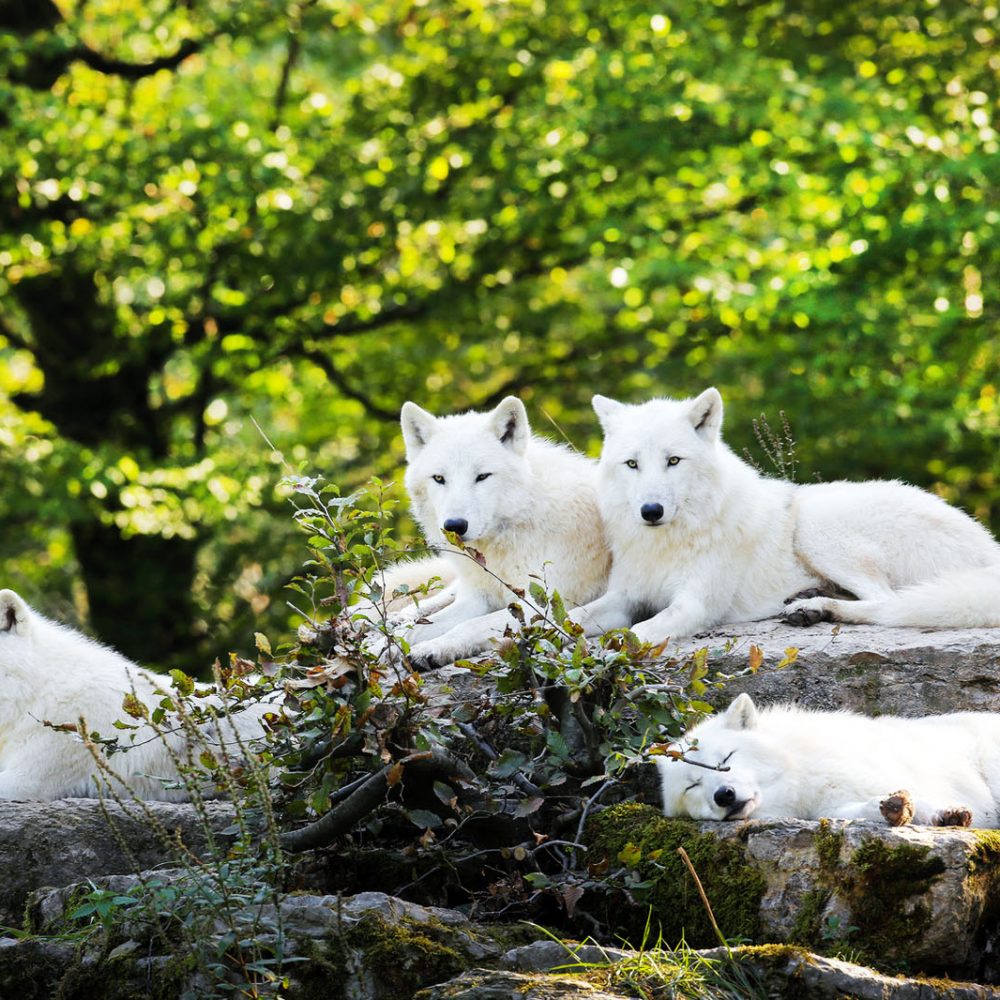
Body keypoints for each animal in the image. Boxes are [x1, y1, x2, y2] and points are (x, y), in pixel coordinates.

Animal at [384, 396, 611, 668]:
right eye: (439, 478)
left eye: (482, 476)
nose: (454, 525)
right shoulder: (478, 598)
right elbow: (418, 629)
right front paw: (384, 646)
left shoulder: (541, 607)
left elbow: (467, 626)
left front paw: (433, 649)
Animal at [569, 387, 1000, 643]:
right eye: (632, 464)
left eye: (673, 461)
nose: (650, 511)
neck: (670, 541)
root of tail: (988, 546)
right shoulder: (623, 596)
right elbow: (570, 617)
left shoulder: (694, 605)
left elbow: (634, 634)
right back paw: (810, 602)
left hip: (817, 524)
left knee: (889, 603)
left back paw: (818, 608)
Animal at [657, 693, 1000, 827]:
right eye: (693, 786)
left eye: (726, 758)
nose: (724, 795)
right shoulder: (830, 808)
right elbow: (865, 808)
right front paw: (895, 808)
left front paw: (947, 812)